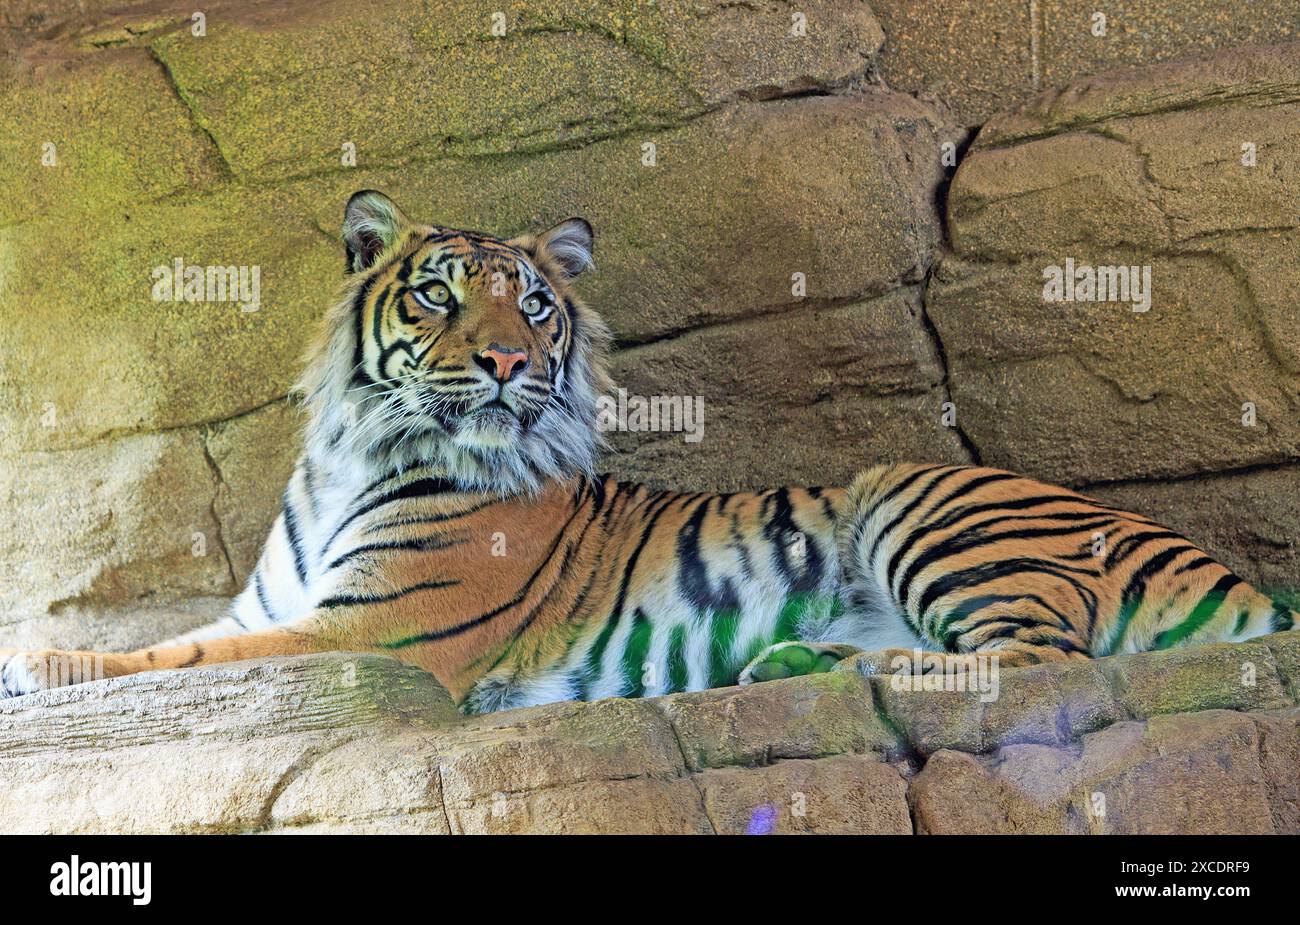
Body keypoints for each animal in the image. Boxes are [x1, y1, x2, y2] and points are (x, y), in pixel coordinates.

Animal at [3, 189, 1294, 713]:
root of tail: (1231, 572)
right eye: (435, 294)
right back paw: (796, 663)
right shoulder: (274, 606)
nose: (507, 363)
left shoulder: (367, 632)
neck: (348, 454)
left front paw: (37, 665)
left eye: (532, 303)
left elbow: (180, 660)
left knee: (1038, 658)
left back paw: (836, 668)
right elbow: (182, 640)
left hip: (922, 501)